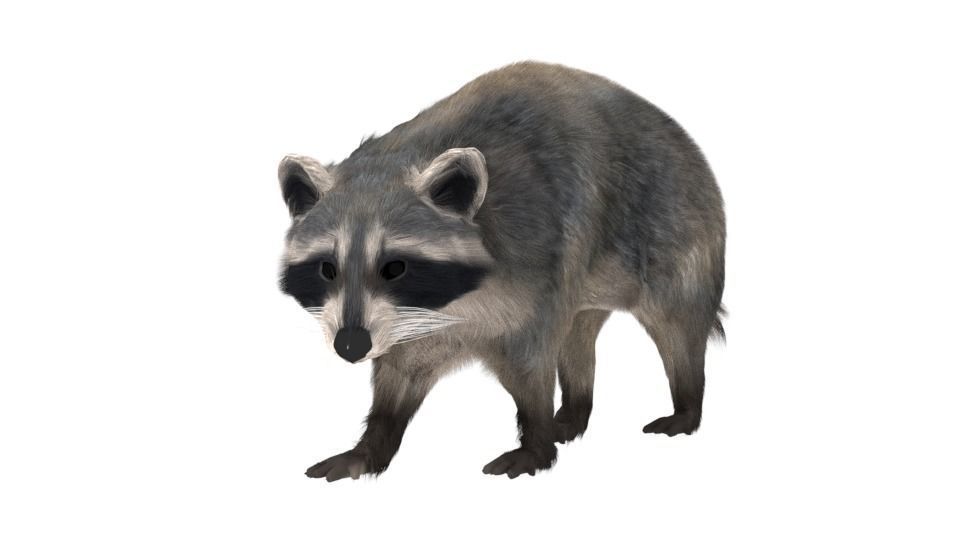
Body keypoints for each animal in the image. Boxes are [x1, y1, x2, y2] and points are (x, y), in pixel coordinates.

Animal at [278, 61, 725, 481]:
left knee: (677, 323)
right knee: (577, 334)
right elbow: (399, 375)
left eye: (395, 267)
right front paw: (373, 444)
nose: (350, 345)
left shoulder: (538, 257)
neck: (447, 307)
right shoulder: (403, 325)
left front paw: (535, 442)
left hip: (675, 228)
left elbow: (532, 366)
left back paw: (685, 403)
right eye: (327, 269)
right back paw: (574, 411)